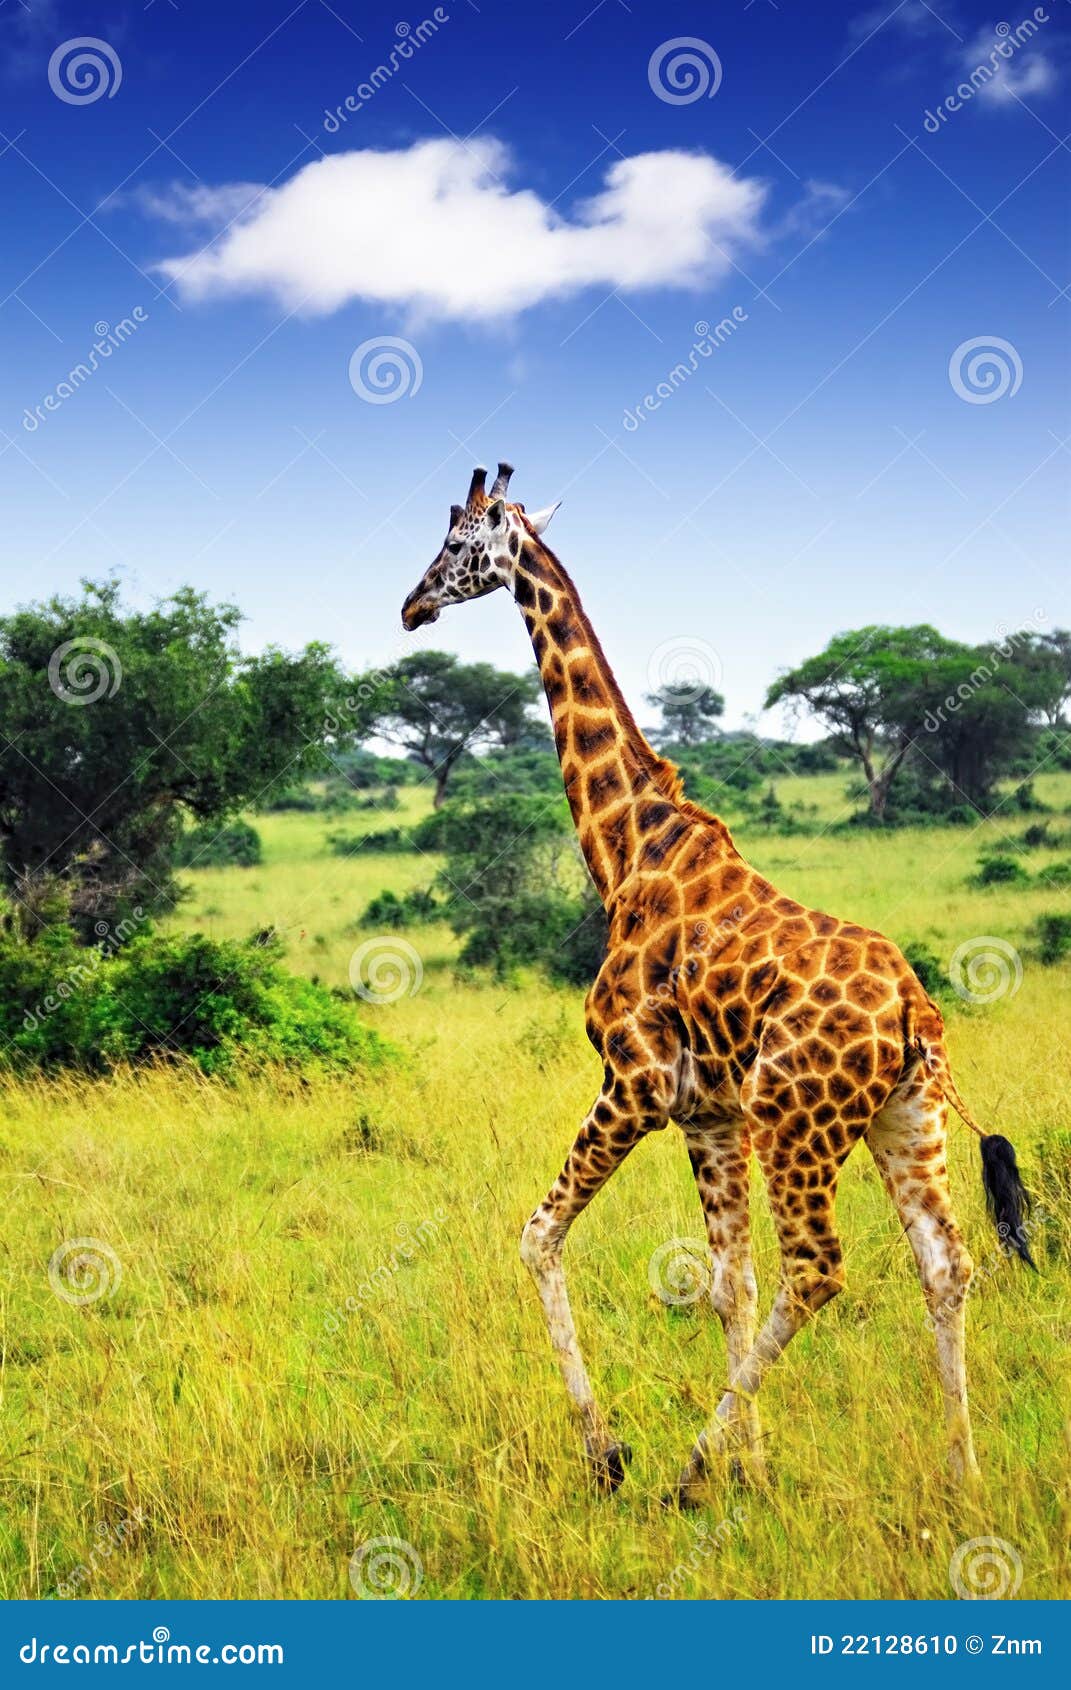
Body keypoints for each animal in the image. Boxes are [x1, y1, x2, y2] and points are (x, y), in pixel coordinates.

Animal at [401, 463, 1035, 1506]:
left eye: (455, 544)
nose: (410, 606)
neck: (627, 845)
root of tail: (912, 1011)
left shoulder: (635, 1083)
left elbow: (538, 1236)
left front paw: (613, 1454)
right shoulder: (709, 1114)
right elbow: (724, 1283)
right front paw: (757, 1467)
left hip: (799, 1122)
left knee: (817, 1271)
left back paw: (687, 1470)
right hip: (904, 1119)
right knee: (945, 1265)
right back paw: (962, 1475)